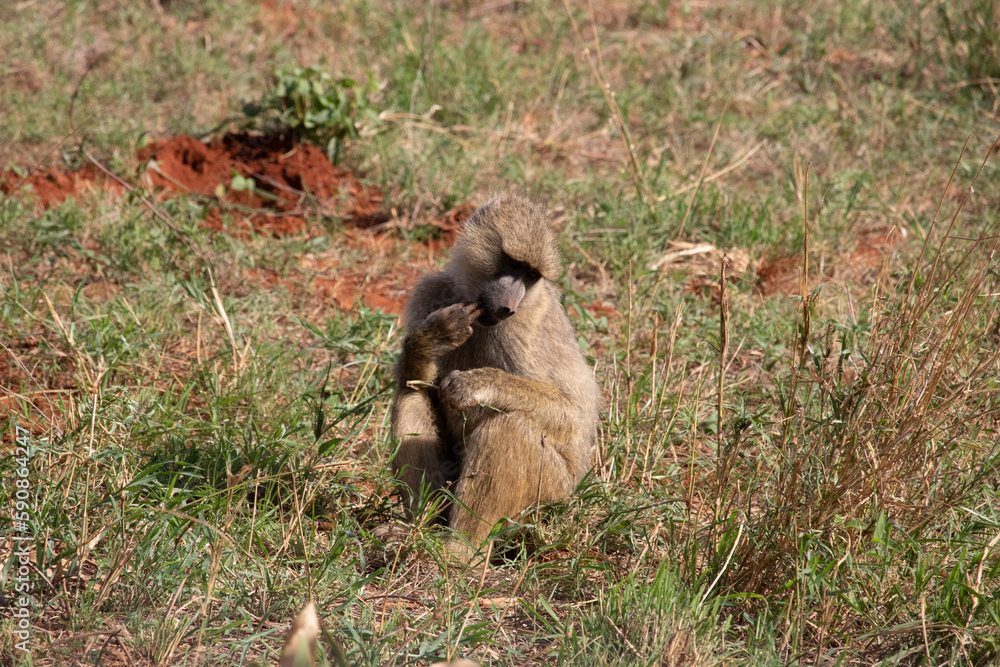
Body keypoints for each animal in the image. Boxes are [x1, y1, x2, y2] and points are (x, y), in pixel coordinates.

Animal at [390, 194, 601, 552]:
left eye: (532, 275)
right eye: (513, 264)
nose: (508, 307)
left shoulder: (519, 329)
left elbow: (573, 415)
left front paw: (477, 384)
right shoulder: (430, 292)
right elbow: (414, 380)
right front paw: (434, 338)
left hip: (550, 498)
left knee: (509, 425)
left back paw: (459, 552)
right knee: (412, 396)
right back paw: (417, 531)